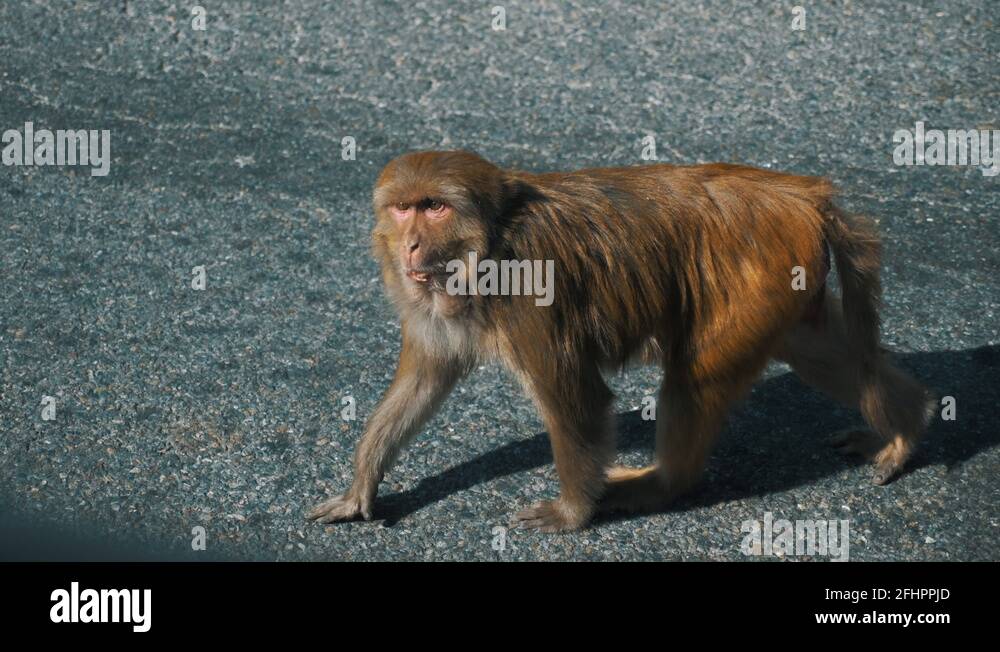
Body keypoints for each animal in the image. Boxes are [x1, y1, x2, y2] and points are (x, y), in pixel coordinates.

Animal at [307, 150, 934, 533]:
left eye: (434, 207)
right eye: (402, 209)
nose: (411, 245)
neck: (490, 247)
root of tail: (804, 195)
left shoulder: (528, 294)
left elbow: (577, 399)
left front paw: (572, 514)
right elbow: (424, 383)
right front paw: (361, 488)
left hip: (757, 278)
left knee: (694, 379)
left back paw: (663, 484)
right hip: (787, 281)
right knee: (818, 354)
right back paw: (907, 427)